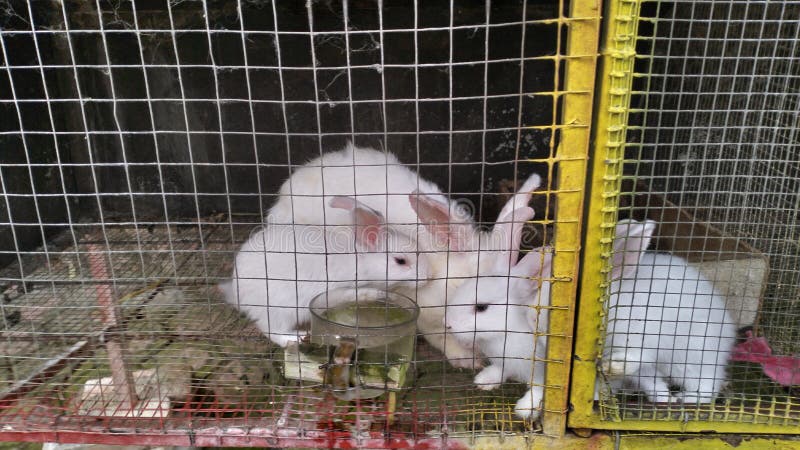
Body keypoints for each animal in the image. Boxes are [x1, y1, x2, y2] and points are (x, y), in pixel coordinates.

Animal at [219, 196, 430, 348]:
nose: (427, 278)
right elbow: (356, 294)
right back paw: (296, 338)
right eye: (401, 261)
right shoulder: (338, 290)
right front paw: (377, 294)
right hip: (280, 309)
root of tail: (238, 290)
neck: (361, 262)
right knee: (272, 330)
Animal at [444, 205, 554, 420]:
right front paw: (484, 380)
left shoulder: (540, 370)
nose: (447, 323)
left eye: (481, 307)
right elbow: (500, 370)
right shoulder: (504, 362)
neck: (505, 333)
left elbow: (539, 388)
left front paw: (525, 408)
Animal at [600, 219, 737, 404]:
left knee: (708, 384)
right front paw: (664, 398)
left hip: (690, 357)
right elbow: (650, 381)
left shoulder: (640, 339)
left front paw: (613, 367)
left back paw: (687, 399)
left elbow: (636, 359)